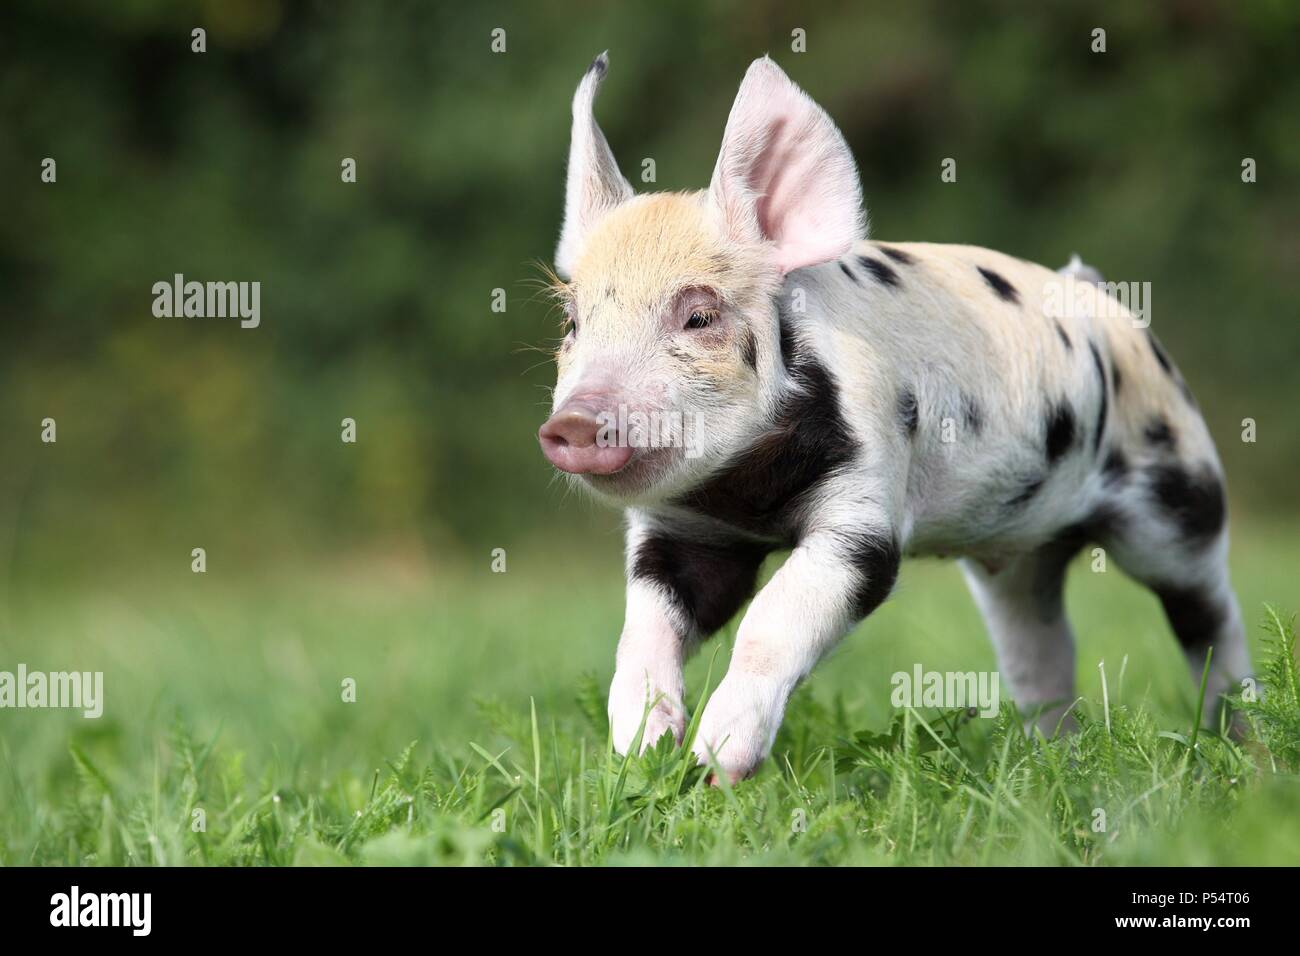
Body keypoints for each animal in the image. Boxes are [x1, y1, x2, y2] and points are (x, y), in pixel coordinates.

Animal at [537, 53, 1251, 782]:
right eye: (572, 323)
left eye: (700, 315)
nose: (573, 423)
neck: (751, 497)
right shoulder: (681, 531)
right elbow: (645, 627)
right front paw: (642, 749)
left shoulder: (865, 510)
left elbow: (777, 616)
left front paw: (718, 764)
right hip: (1023, 558)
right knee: (1042, 651)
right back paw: (1055, 762)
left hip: (1180, 496)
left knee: (1211, 616)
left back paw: (1243, 743)